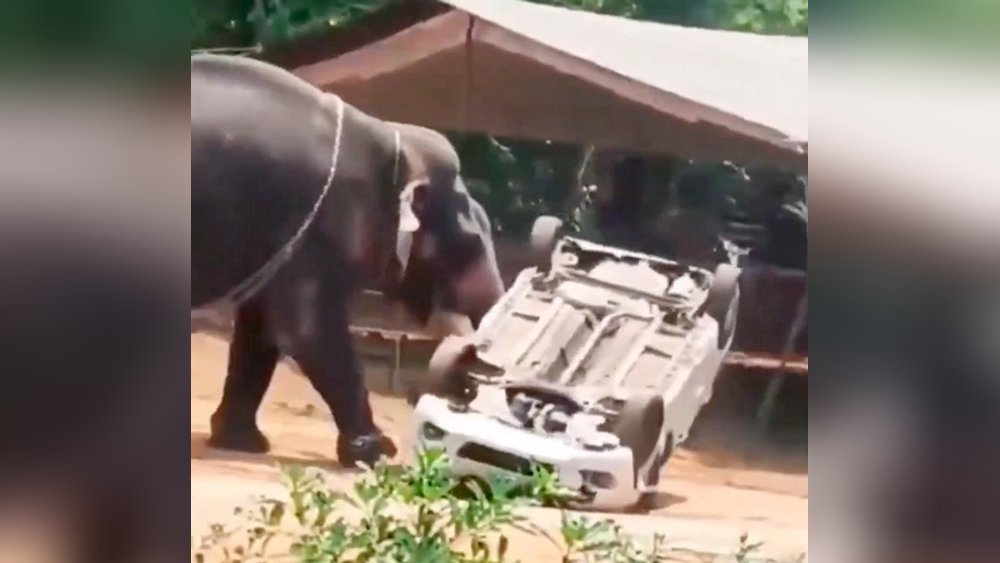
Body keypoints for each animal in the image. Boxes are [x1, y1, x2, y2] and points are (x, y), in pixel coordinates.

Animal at [191, 54, 504, 467]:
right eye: (470, 243)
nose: (466, 391)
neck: (391, 138)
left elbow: (260, 328)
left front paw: (242, 443)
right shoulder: (318, 231)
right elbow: (309, 330)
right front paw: (377, 453)